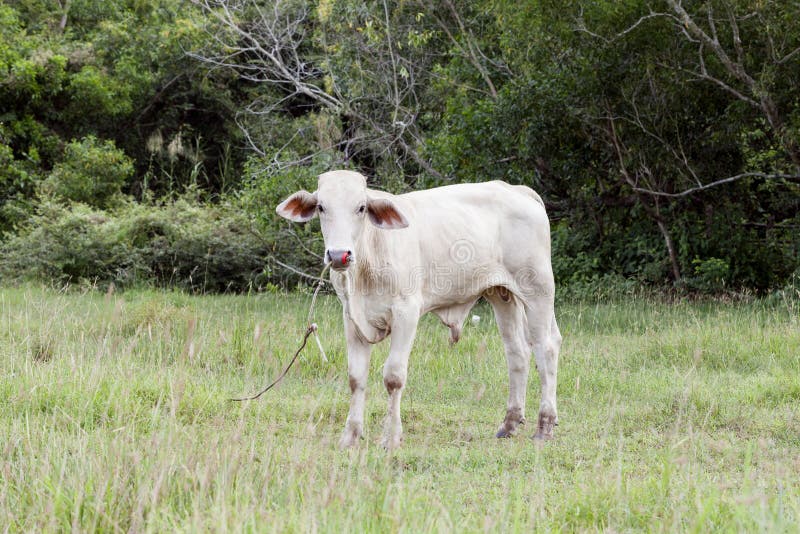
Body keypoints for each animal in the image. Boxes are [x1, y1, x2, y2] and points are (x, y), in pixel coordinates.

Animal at [276, 170, 562, 449]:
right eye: (321, 207)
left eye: (361, 207)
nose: (338, 255)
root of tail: (517, 190)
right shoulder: (351, 317)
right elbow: (356, 378)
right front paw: (350, 437)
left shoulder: (406, 312)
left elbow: (393, 376)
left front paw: (391, 438)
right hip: (502, 295)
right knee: (517, 353)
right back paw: (510, 423)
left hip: (538, 290)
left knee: (546, 348)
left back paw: (544, 426)